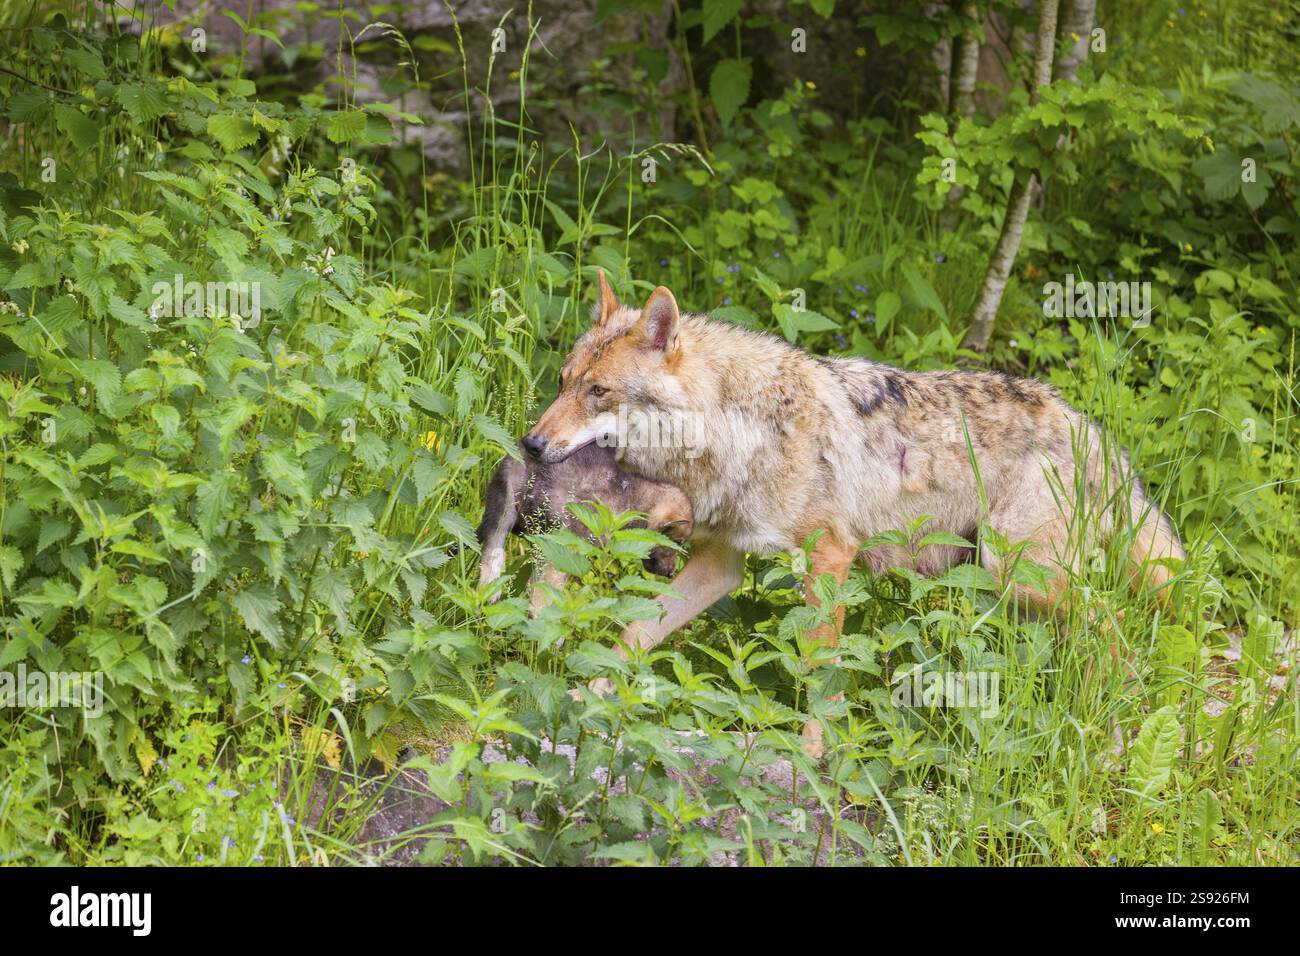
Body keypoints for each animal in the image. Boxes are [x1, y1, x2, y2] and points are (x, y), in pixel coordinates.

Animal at [476, 440, 693, 612]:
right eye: (676, 542)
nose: (671, 573)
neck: (633, 500)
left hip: (504, 505)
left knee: (491, 549)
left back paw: (489, 590)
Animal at [525, 271, 1185, 753]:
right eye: (561, 382)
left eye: (599, 393)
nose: (531, 444)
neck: (735, 429)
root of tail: (1087, 425)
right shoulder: (721, 564)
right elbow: (636, 631)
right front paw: (591, 691)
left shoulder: (829, 557)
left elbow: (820, 671)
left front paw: (813, 757)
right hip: (1001, 586)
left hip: (1017, 575)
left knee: (1117, 629)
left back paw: (1117, 733)